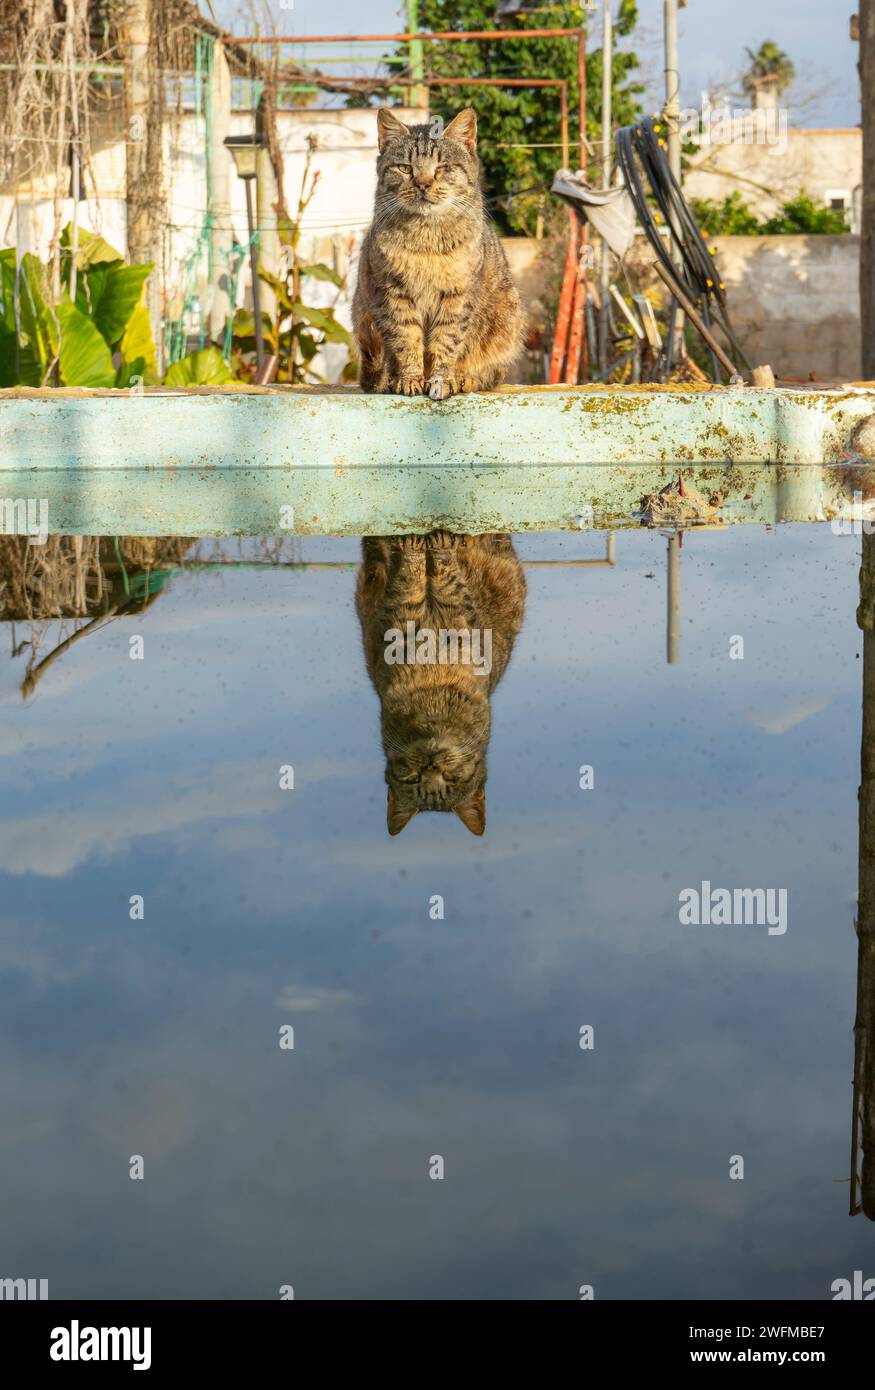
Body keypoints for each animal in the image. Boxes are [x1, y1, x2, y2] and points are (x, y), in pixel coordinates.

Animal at [349, 108, 525, 400]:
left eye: (442, 168)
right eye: (405, 168)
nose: (423, 184)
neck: (426, 238)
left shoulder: (458, 296)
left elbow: (446, 341)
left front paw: (441, 380)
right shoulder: (393, 293)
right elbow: (407, 338)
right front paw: (410, 378)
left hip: (508, 320)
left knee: (492, 374)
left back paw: (467, 379)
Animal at [354, 530, 525, 834]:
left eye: (451, 778)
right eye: (412, 778)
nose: (431, 765)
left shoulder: (460, 615)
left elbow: (448, 581)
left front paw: (438, 549)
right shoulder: (395, 618)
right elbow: (408, 583)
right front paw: (415, 552)